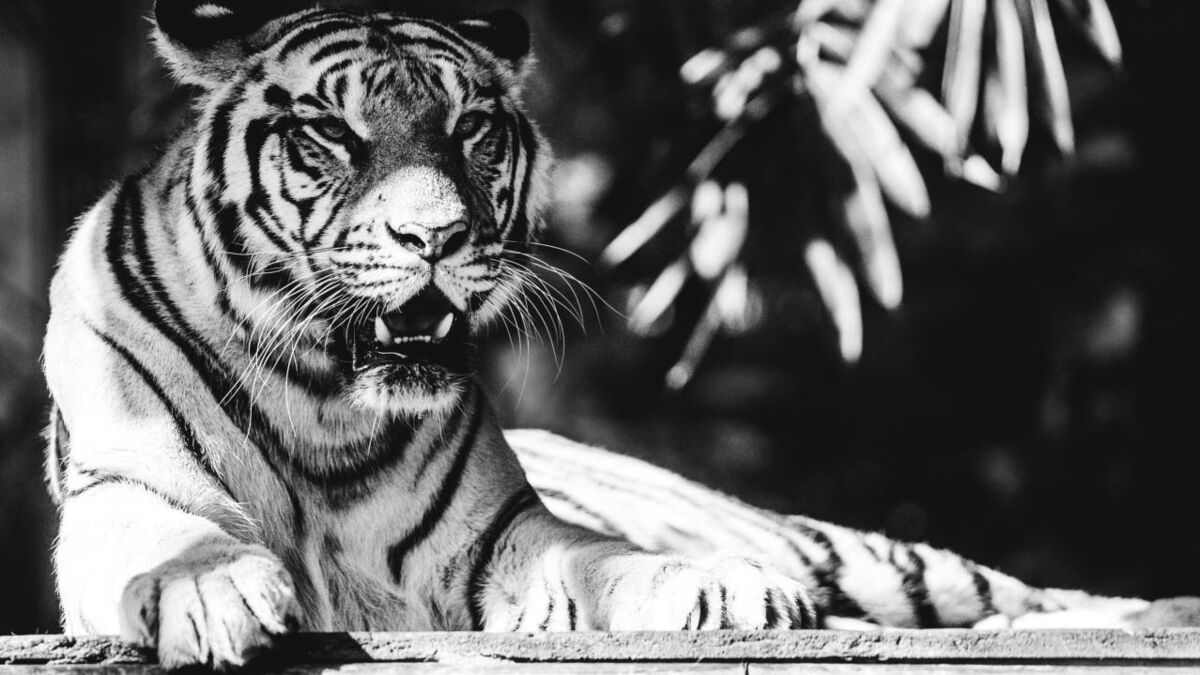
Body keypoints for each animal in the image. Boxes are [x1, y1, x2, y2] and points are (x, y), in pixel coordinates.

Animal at [42, 0, 1197, 671]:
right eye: (332, 134)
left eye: (470, 129)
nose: (436, 237)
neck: (326, 399)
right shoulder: (119, 492)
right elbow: (170, 537)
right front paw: (213, 589)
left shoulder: (498, 535)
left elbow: (602, 560)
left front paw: (716, 588)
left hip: (864, 554)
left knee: (1031, 594)